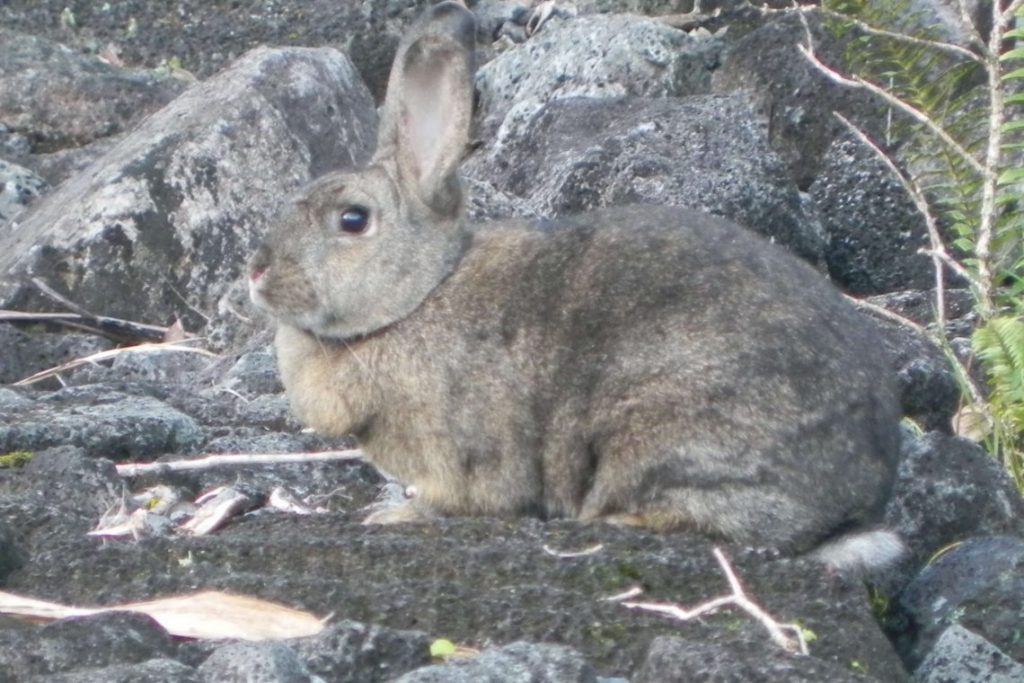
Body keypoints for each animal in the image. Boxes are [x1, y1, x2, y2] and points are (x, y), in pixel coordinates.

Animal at [249, 1, 903, 570]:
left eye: (353, 220)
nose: (256, 271)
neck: (420, 295)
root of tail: (854, 503)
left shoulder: (467, 457)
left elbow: (460, 501)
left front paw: (394, 519)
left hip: (663, 434)